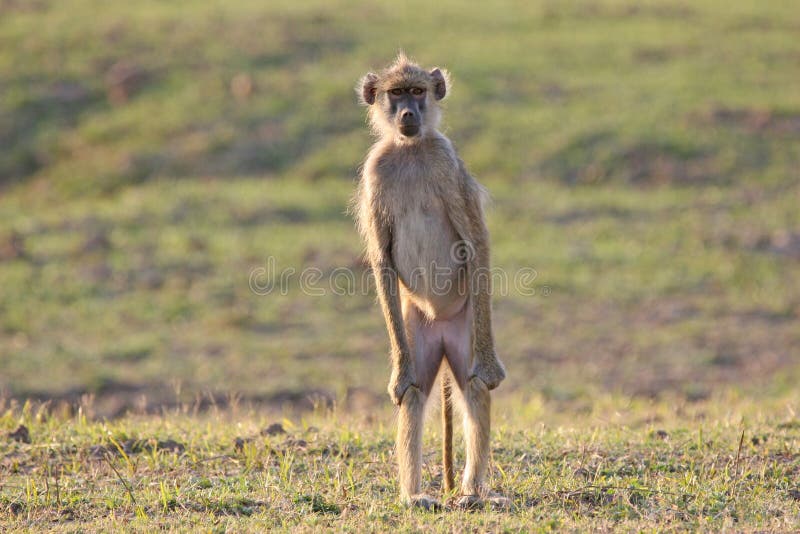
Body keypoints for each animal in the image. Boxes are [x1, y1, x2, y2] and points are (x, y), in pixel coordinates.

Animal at [352, 54, 508, 510]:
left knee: (474, 386)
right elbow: (382, 259)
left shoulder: (445, 160)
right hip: (415, 330)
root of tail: (440, 323)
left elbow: (476, 241)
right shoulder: (375, 171)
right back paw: (414, 495)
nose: (407, 115)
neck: (412, 149)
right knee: (416, 390)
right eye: (396, 93)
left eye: (418, 92)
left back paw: (473, 491)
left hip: (468, 323)